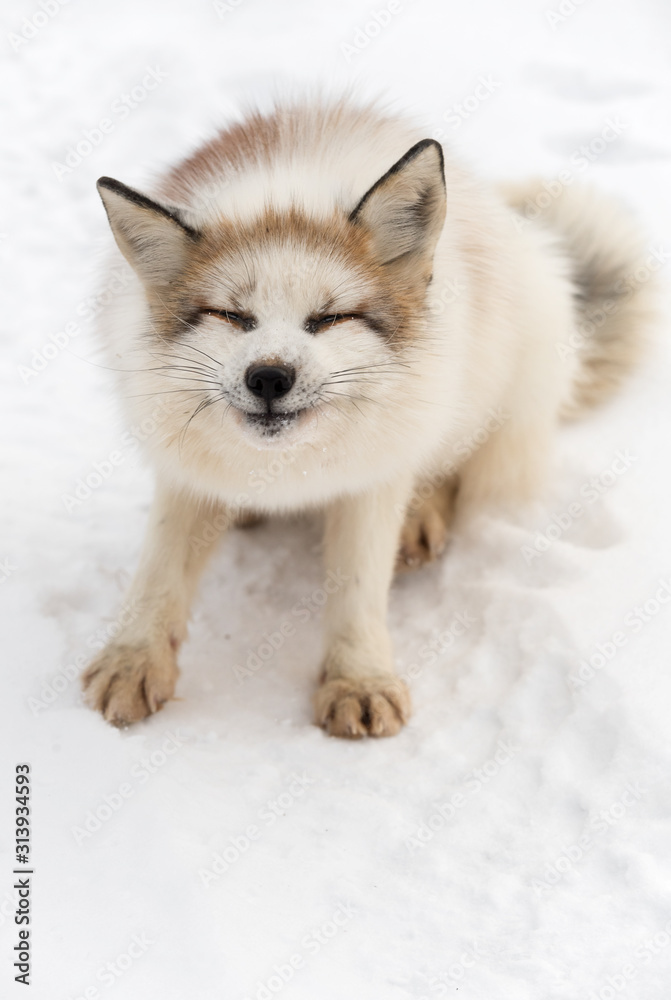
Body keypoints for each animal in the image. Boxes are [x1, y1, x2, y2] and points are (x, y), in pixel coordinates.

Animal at [82, 97, 655, 738]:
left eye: (330, 319)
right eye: (232, 316)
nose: (269, 377)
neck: (291, 473)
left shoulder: (372, 479)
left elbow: (358, 589)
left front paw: (358, 680)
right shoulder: (184, 471)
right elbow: (156, 574)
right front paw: (132, 660)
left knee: (451, 472)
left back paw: (420, 517)